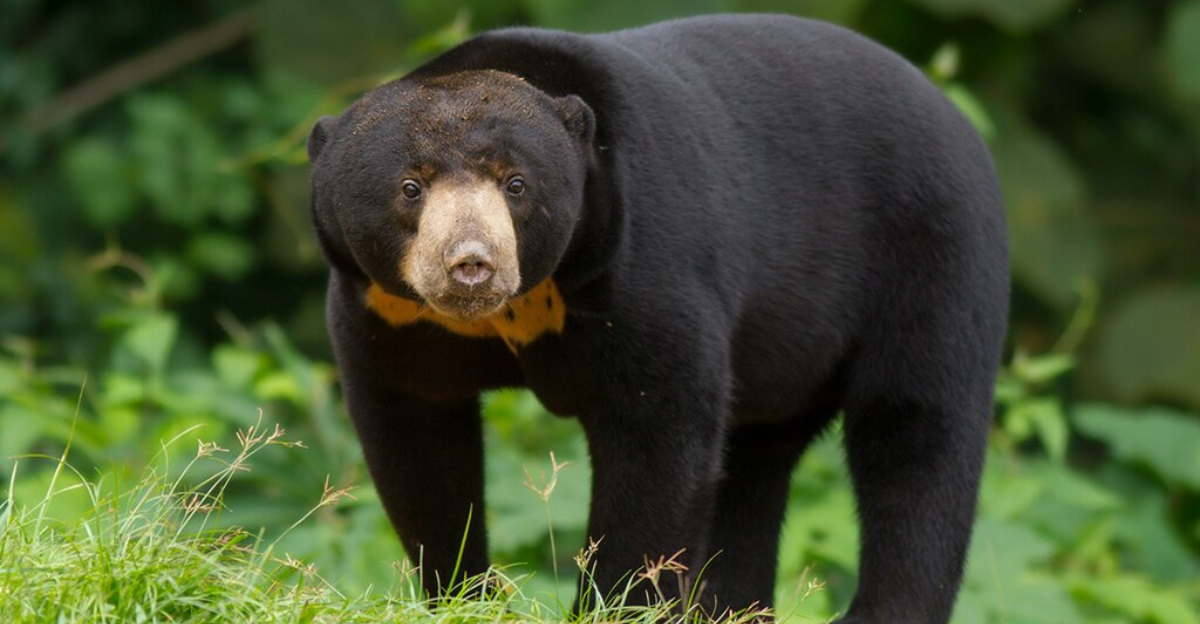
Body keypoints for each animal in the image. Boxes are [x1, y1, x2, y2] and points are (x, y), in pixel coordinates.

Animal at [306, 13, 1008, 624]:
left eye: (515, 183)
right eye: (410, 186)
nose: (472, 265)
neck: (525, 300)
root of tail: (957, 117)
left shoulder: (646, 259)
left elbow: (657, 433)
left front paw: (611, 606)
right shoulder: (387, 312)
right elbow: (416, 436)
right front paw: (463, 596)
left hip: (933, 254)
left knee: (916, 432)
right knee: (755, 464)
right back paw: (731, 608)